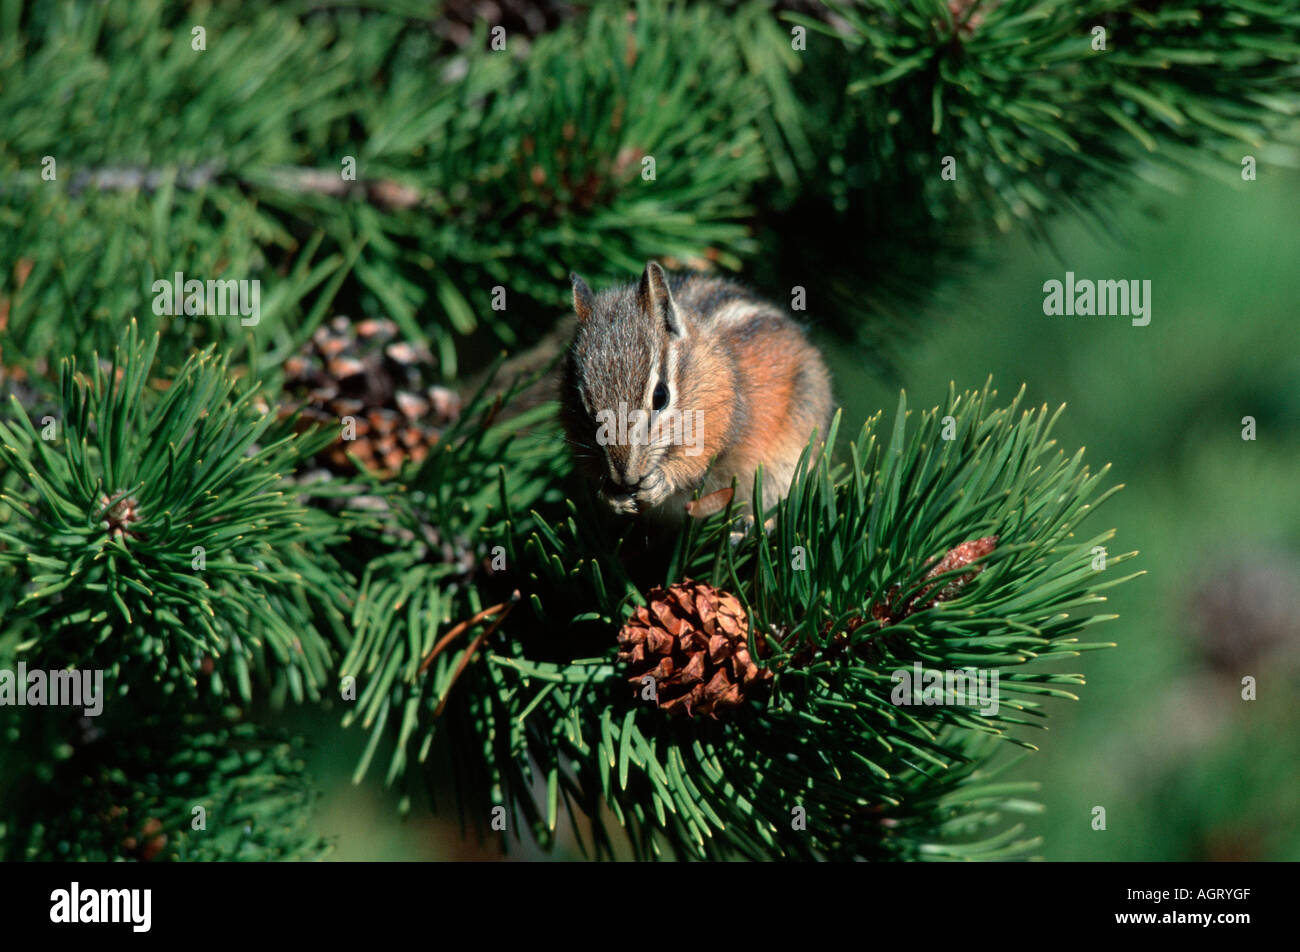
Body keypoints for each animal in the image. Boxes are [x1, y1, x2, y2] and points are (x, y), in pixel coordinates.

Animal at [560, 262, 833, 525]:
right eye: (582, 408)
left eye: (660, 397)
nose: (626, 477)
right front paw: (611, 496)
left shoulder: (720, 417)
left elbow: (701, 456)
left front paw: (664, 479)